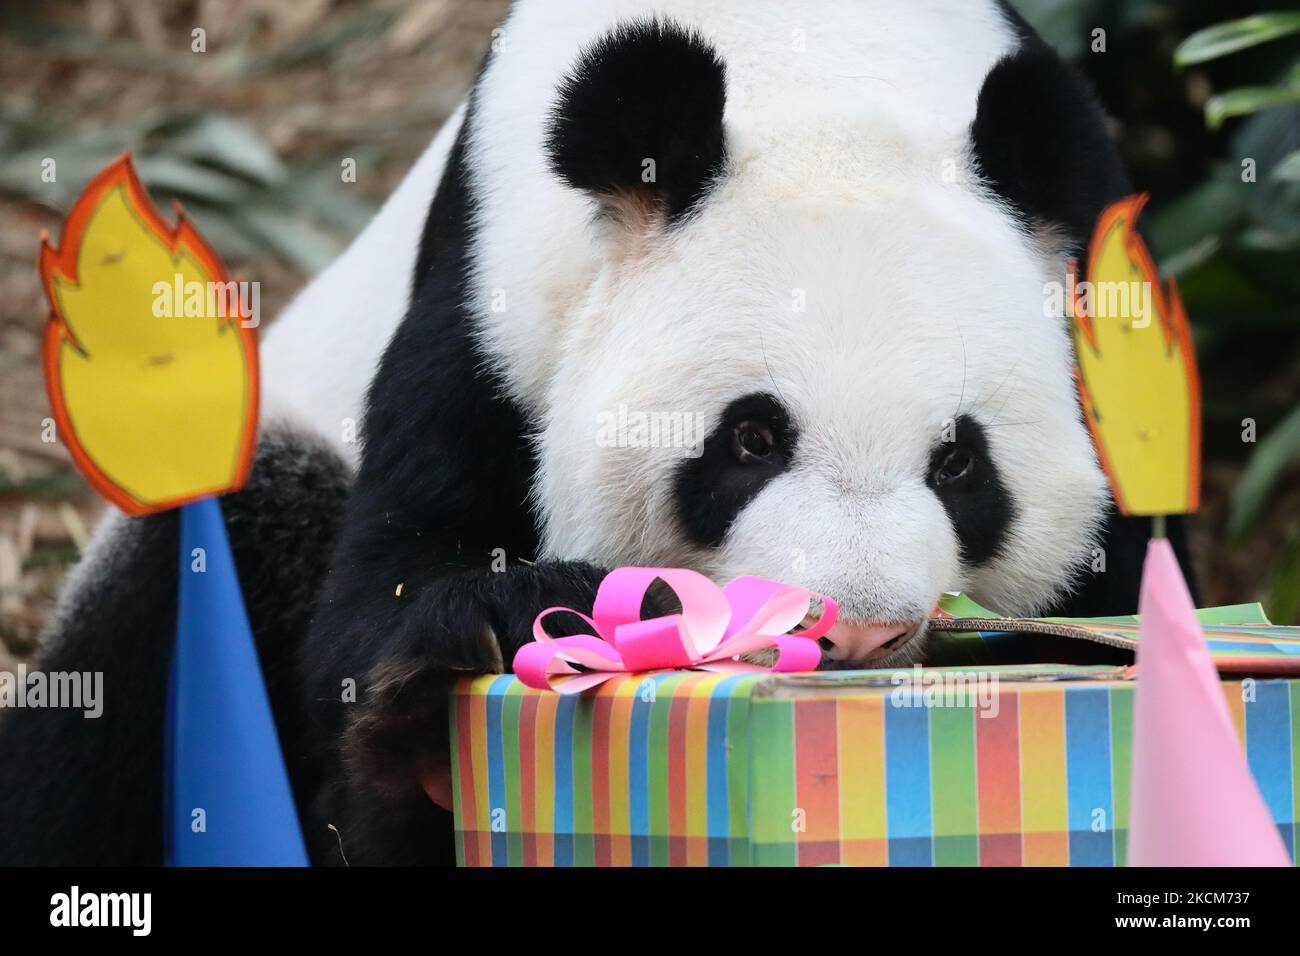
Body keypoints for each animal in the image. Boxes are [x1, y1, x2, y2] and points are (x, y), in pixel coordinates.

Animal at [0, 0, 1194, 866]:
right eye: (750, 441)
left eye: (958, 462)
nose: (856, 633)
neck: (815, 64)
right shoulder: (489, 301)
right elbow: (374, 601)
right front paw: (474, 651)